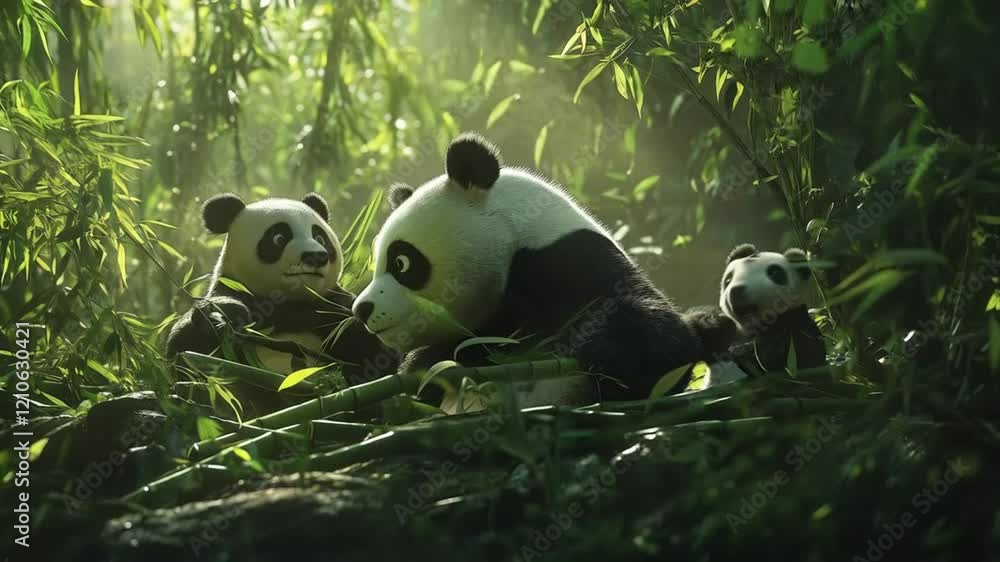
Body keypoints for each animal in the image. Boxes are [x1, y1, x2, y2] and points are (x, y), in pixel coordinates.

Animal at [164, 192, 397, 395]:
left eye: (320, 237)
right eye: (279, 238)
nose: (316, 256)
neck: (289, 301)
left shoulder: (331, 307)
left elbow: (380, 357)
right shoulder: (239, 294)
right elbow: (185, 355)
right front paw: (226, 312)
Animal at [350, 132, 702, 411]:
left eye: (402, 262)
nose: (361, 309)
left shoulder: (573, 260)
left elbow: (662, 346)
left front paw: (606, 351)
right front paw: (420, 364)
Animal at [690, 243, 827, 387]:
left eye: (774, 273)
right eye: (728, 279)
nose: (736, 291)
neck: (751, 326)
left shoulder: (795, 323)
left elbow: (793, 360)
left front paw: (742, 351)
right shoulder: (724, 335)